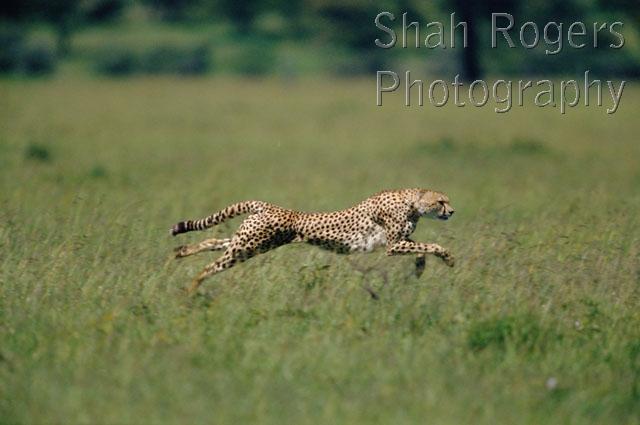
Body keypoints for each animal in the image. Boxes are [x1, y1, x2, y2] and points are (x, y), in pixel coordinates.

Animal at [170, 188, 455, 294]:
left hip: (252, 243)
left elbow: (420, 249)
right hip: (248, 246)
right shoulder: (393, 245)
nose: (452, 212)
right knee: (211, 266)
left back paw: (182, 251)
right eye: (441, 201)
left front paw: (419, 268)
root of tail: (268, 205)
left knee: (214, 241)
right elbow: (431, 245)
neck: (412, 202)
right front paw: (449, 258)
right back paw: (192, 289)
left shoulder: (399, 242)